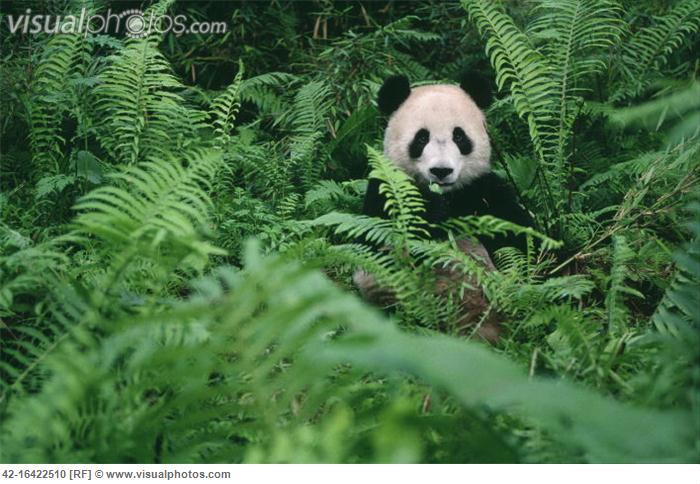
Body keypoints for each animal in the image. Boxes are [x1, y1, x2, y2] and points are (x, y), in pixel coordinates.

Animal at [354, 73, 534, 341]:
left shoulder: (483, 190)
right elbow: (379, 242)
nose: (441, 171)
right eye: (421, 138)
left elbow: (519, 237)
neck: (450, 196)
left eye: (459, 137)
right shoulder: (384, 190)